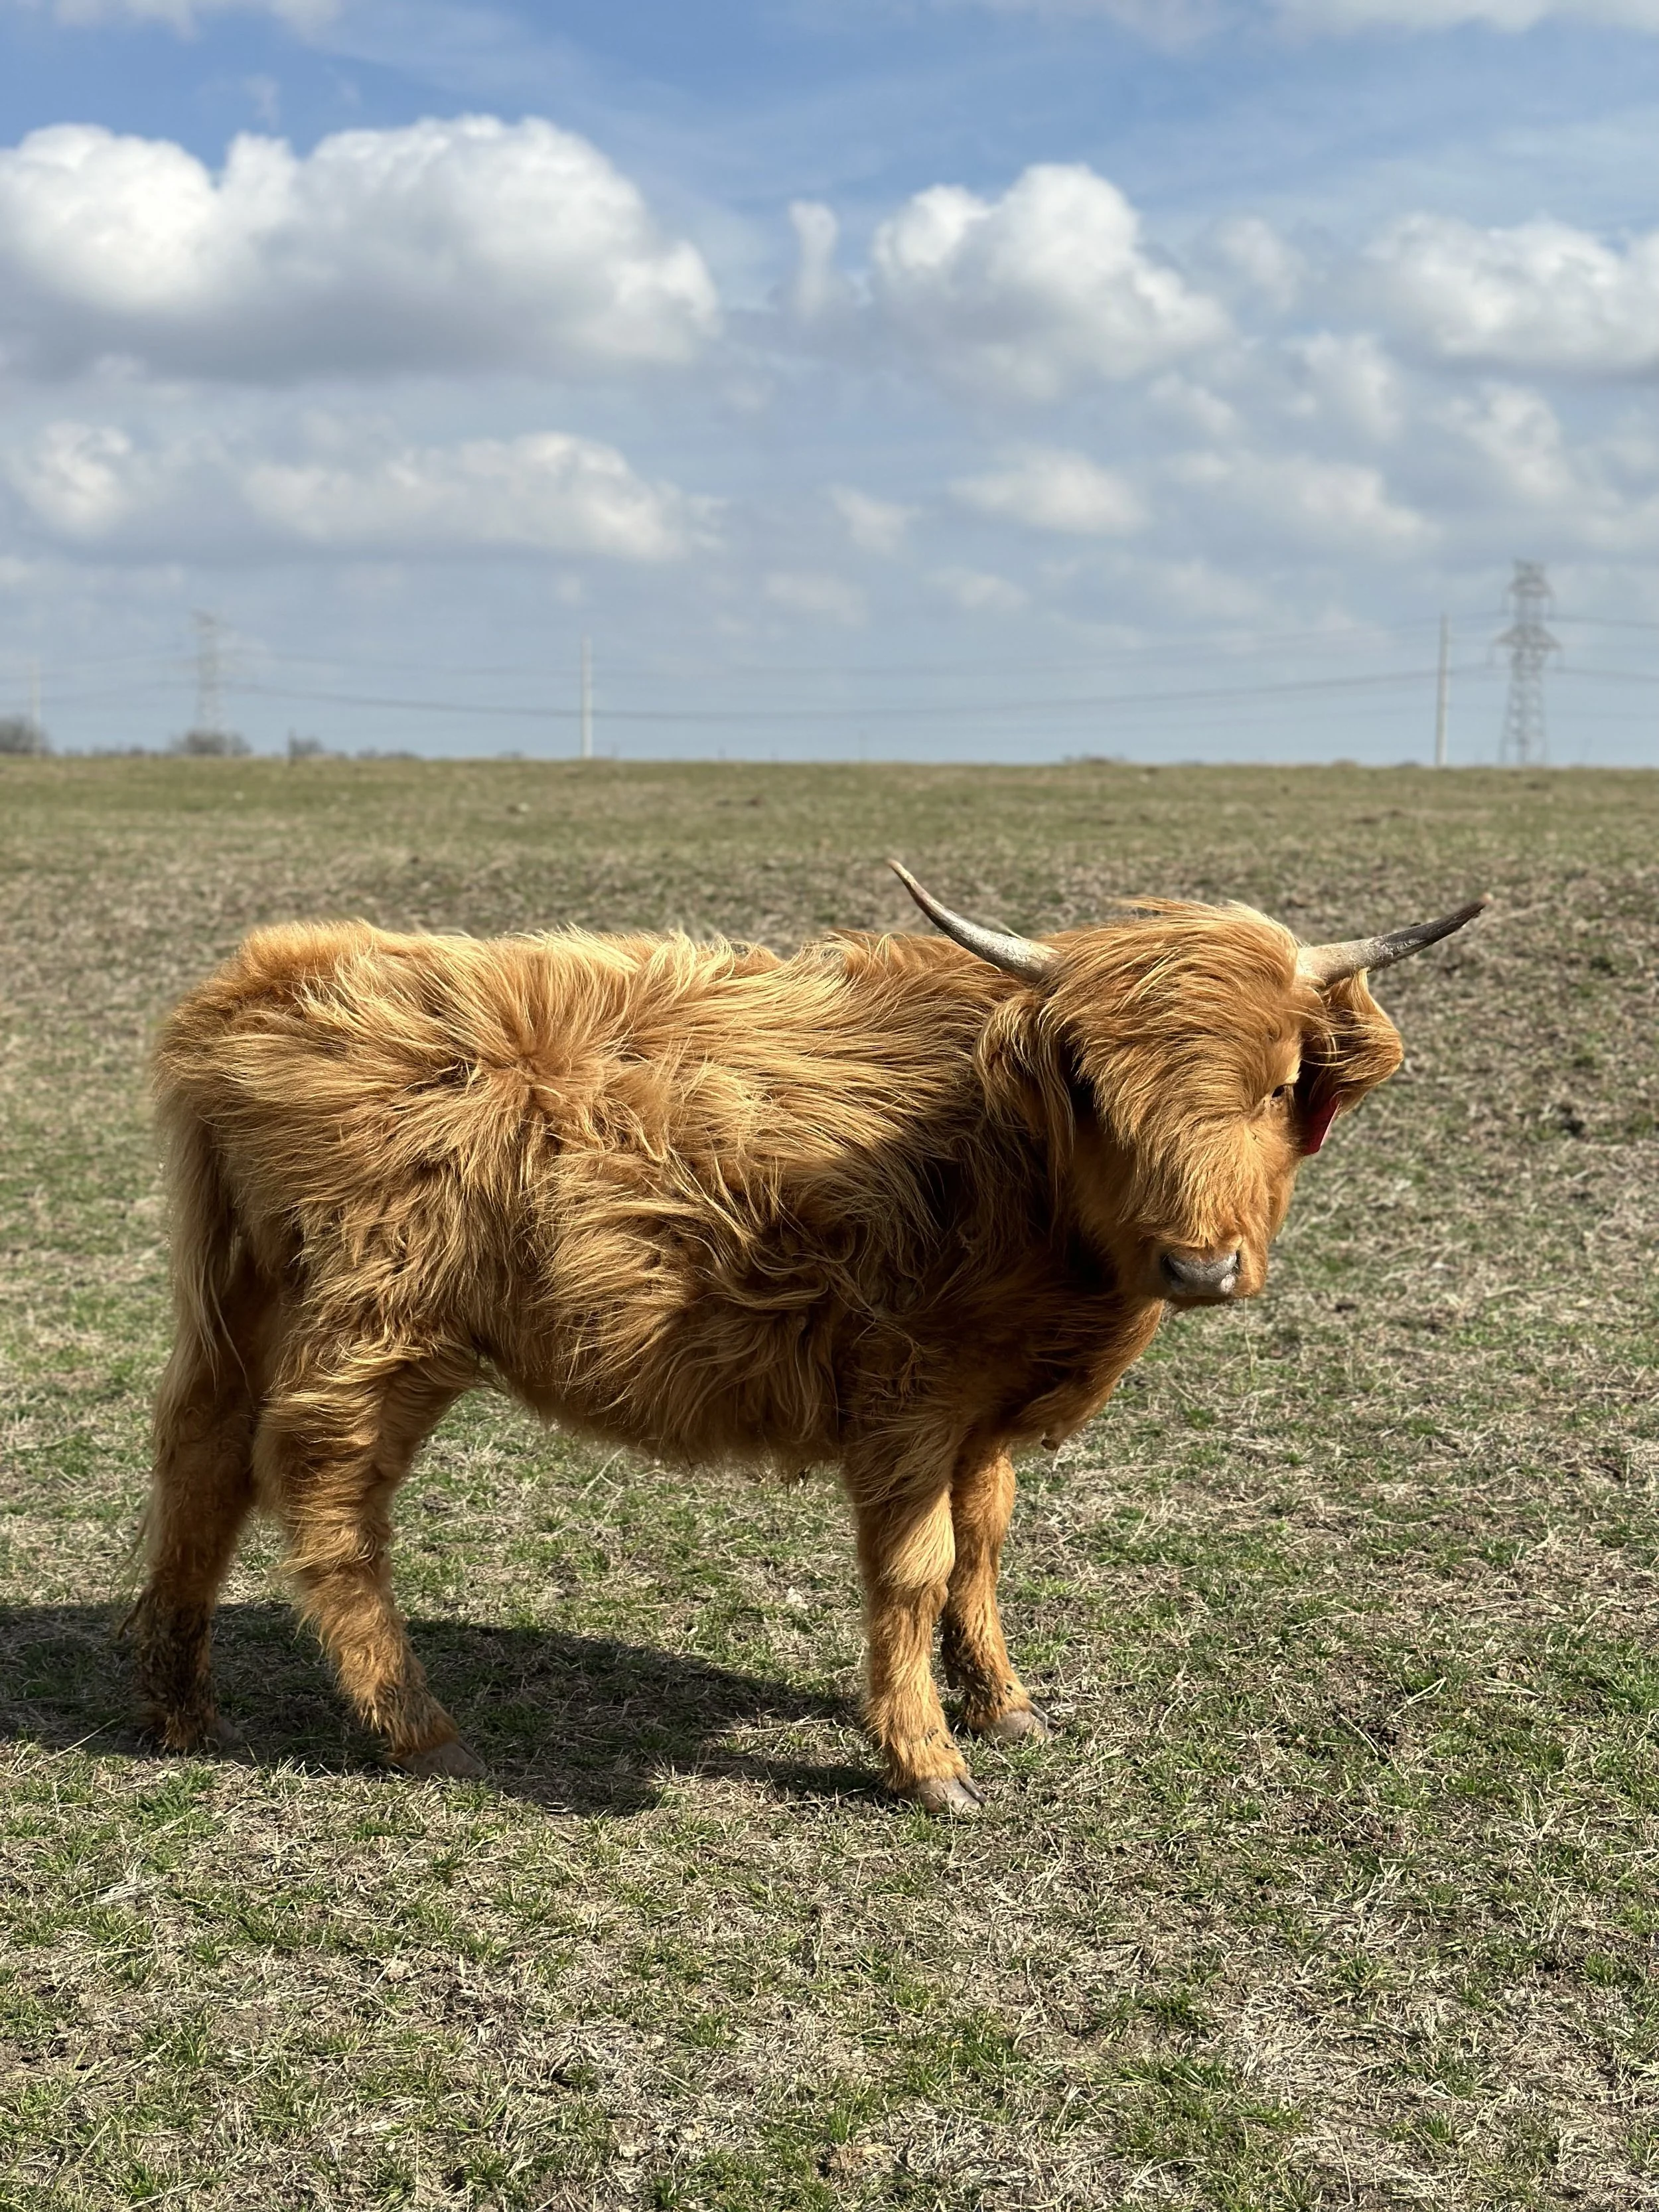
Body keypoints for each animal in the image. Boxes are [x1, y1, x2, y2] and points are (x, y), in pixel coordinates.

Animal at [127, 865, 1484, 1814]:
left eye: (1279, 1083)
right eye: (1096, 1090)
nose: (1200, 1264)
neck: (1011, 1172)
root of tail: (279, 972)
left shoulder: (986, 1411)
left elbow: (985, 1549)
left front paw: (1003, 1703)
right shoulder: (909, 1396)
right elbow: (918, 1566)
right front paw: (925, 1758)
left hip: (250, 1294)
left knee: (200, 1457)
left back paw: (181, 1704)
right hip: (384, 1322)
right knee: (321, 1493)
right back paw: (415, 1724)